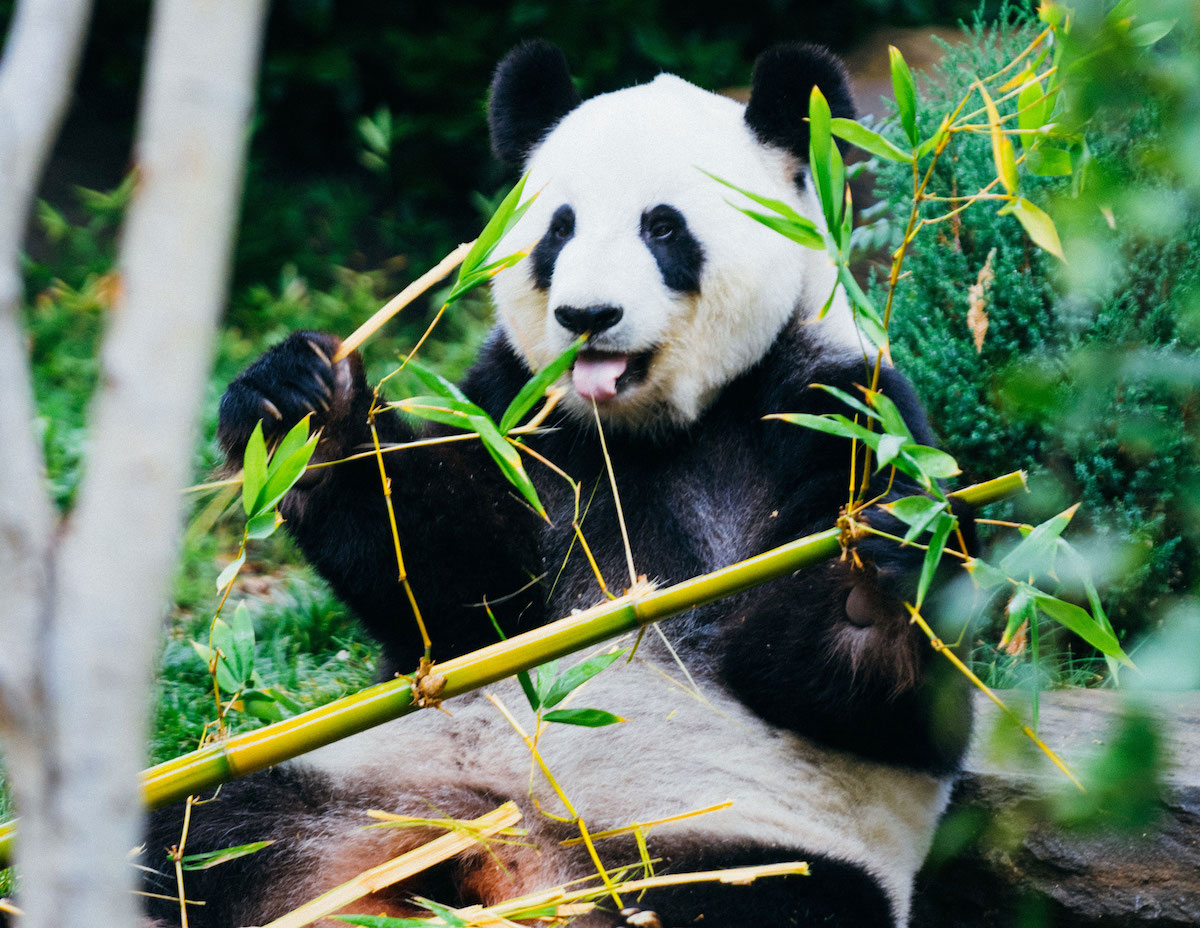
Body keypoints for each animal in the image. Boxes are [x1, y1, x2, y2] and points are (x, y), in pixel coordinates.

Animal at [144, 41, 973, 928]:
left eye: (663, 226)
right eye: (559, 229)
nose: (587, 316)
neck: (648, 426)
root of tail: (502, 861)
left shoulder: (837, 407)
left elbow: (872, 703)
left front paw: (870, 580)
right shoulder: (519, 414)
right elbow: (456, 594)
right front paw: (303, 404)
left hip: (726, 849)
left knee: (770, 899)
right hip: (351, 784)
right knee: (199, 839)